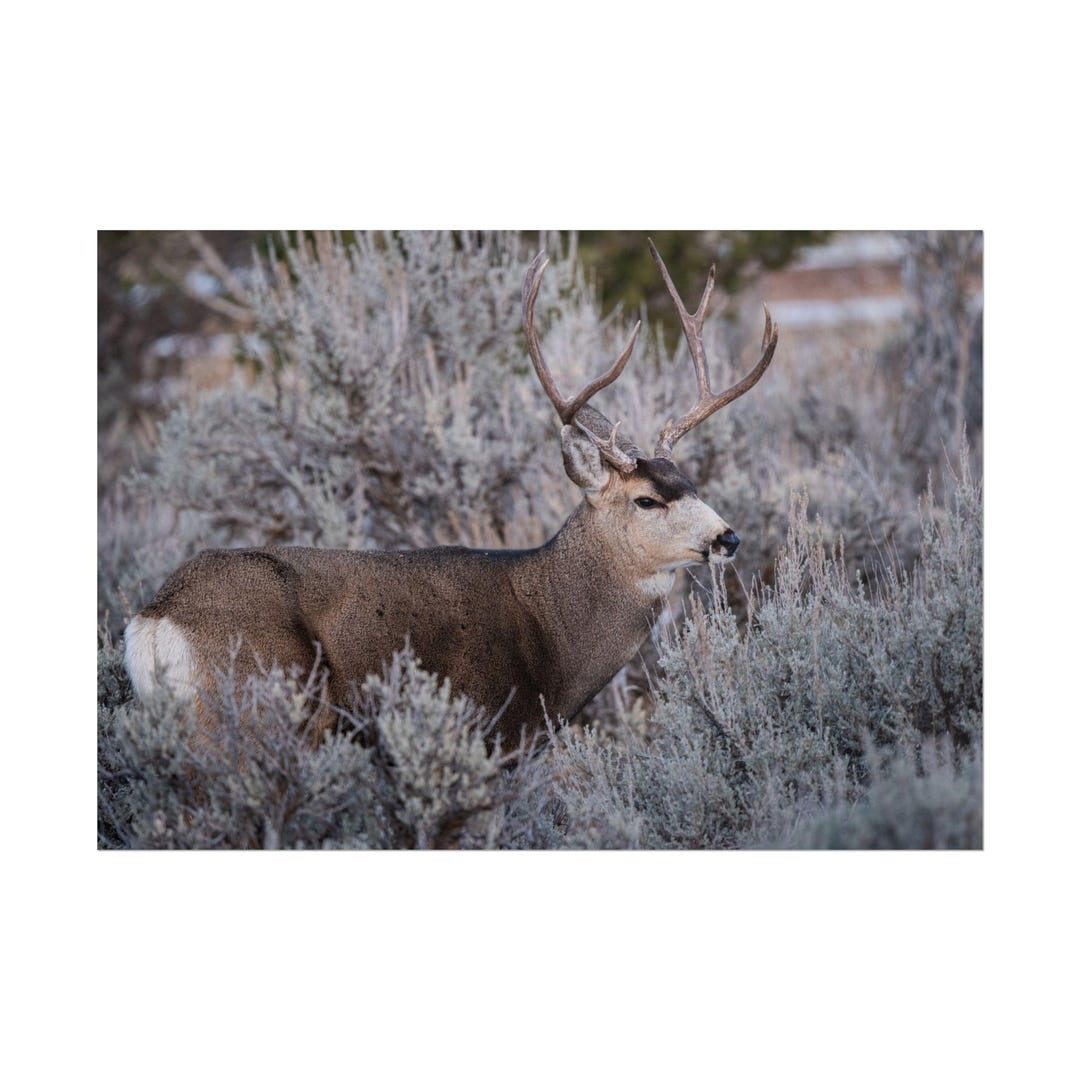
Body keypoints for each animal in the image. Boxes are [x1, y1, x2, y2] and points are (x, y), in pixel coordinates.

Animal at [124, 240, 779, 748]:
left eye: (691, 483)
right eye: (647, 500)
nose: (728, 538)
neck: (554, 640)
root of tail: (155, 619)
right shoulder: (493, 731)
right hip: (259, 707)